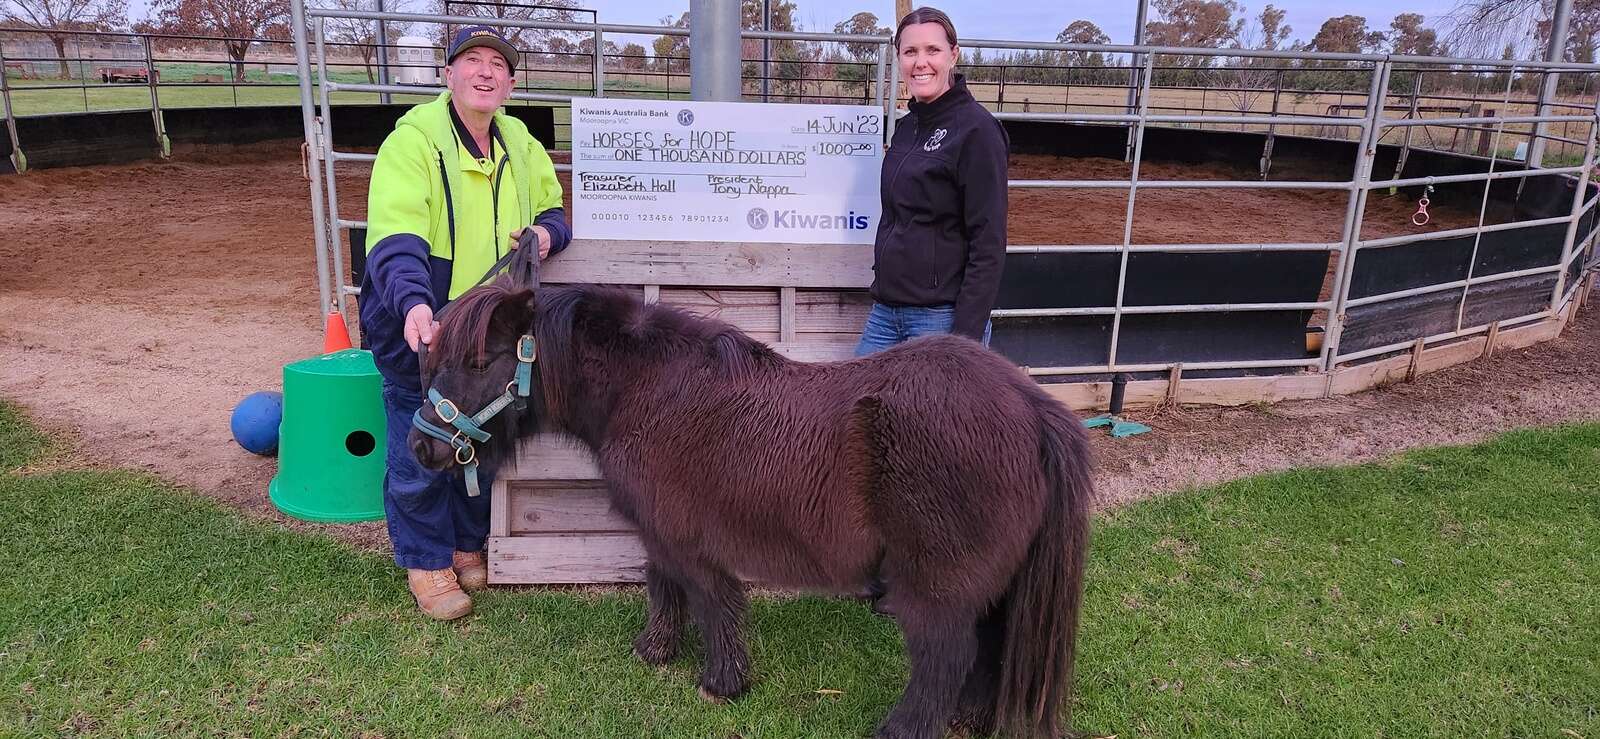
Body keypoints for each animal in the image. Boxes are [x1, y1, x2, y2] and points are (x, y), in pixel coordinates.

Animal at [409, 273, 1094, 739]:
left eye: (478, 360)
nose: (421, 446)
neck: (648, 391)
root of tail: (1032, 406)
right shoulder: (661, 534)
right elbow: (663, 586)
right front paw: (656, 652)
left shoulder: (692, 543)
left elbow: (713, 605)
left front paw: (721, 683)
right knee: (988, 649)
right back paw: (973, 720)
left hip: (936, 587)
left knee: (947, 658)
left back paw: (902, 729)